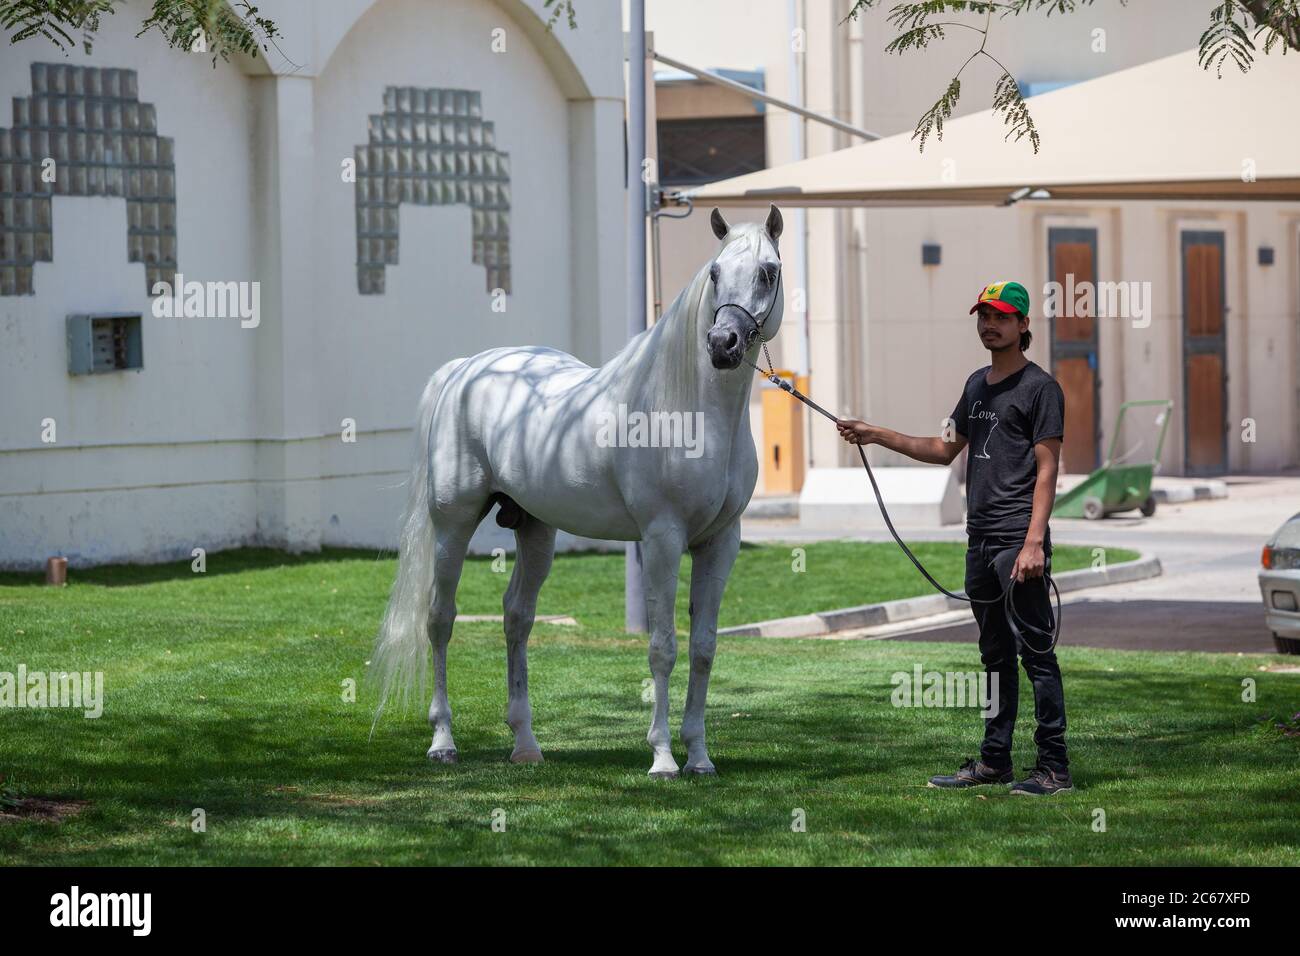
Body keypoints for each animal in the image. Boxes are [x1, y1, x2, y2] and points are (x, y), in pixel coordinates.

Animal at [371, 205, 785, 778]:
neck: (689, 412)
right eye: (715, 273)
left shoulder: (721, 542)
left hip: (535, 529)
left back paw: (526, 744)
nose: (722, 345)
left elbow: (703, 648)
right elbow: (663, 647)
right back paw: (443, 741)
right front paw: (662, 757)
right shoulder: (661, 539)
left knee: (516, 617)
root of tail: (465, 369)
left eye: (768, 271)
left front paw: (700, 757)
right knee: (440, 620)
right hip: (452, 524)